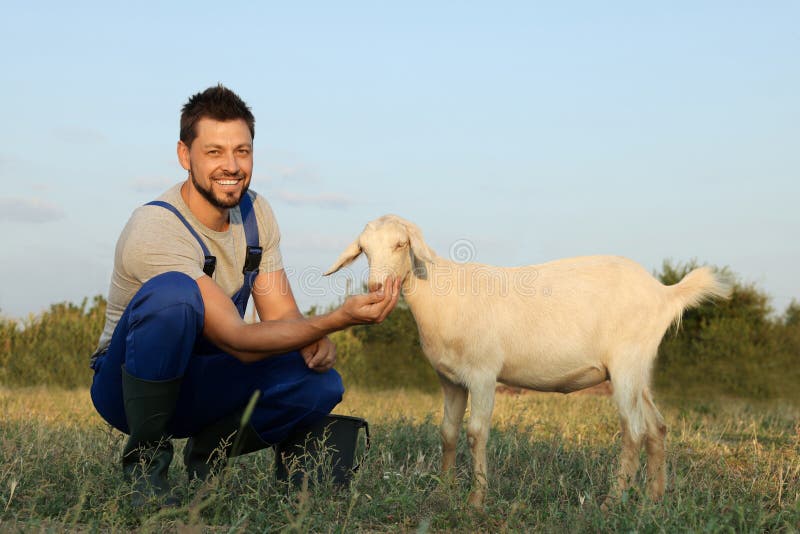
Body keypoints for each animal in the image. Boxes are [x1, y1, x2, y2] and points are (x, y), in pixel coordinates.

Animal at [325, 215, 731, 507]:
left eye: (401, 244)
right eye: (364, 250)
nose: (376, 289)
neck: (442, 296)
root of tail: (665, 294)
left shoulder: (483, 374)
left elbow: (476, 433)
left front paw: (476, 501)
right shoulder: (451, 379)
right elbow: (447, 433)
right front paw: (442, 491)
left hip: (626, 363)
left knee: (633, 430)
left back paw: (612, 502)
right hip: (637, 369)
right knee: (657, 427)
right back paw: (653, 499)